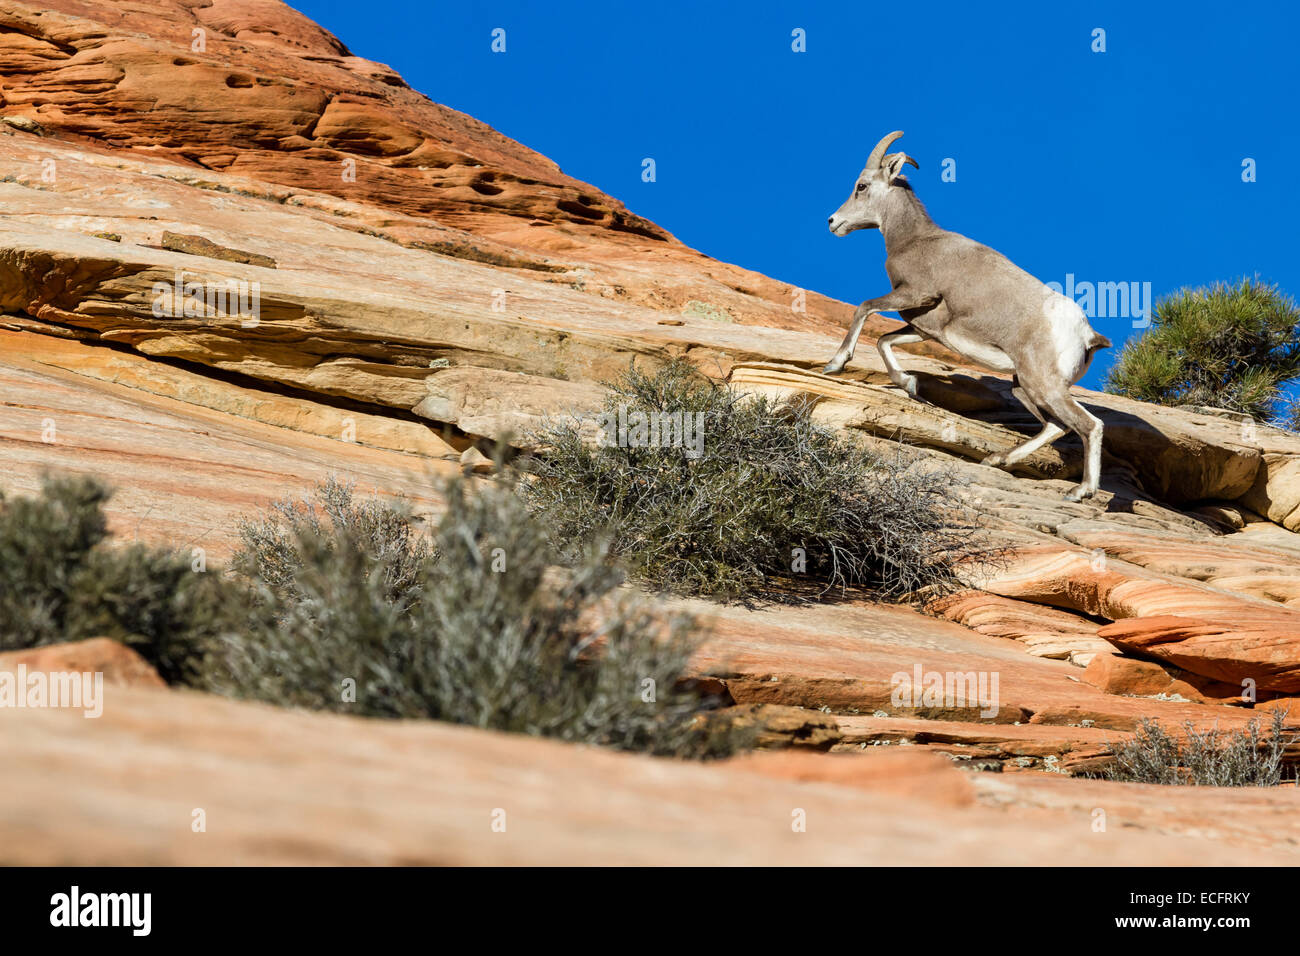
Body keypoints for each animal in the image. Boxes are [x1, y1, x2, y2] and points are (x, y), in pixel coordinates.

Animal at [824, 131, 1112, 501]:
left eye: (861, 186)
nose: (832, 222)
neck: (916, 240)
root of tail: (1087, 335)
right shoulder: (926, 328)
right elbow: (884, 341)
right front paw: (910, 384)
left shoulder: (915, 294)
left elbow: (863, 308)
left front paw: (835, 364)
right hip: (1024, 388)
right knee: (1055, 426)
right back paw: (996, 460)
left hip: (1043, 387)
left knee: (1089, 425)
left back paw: (1081, 492)